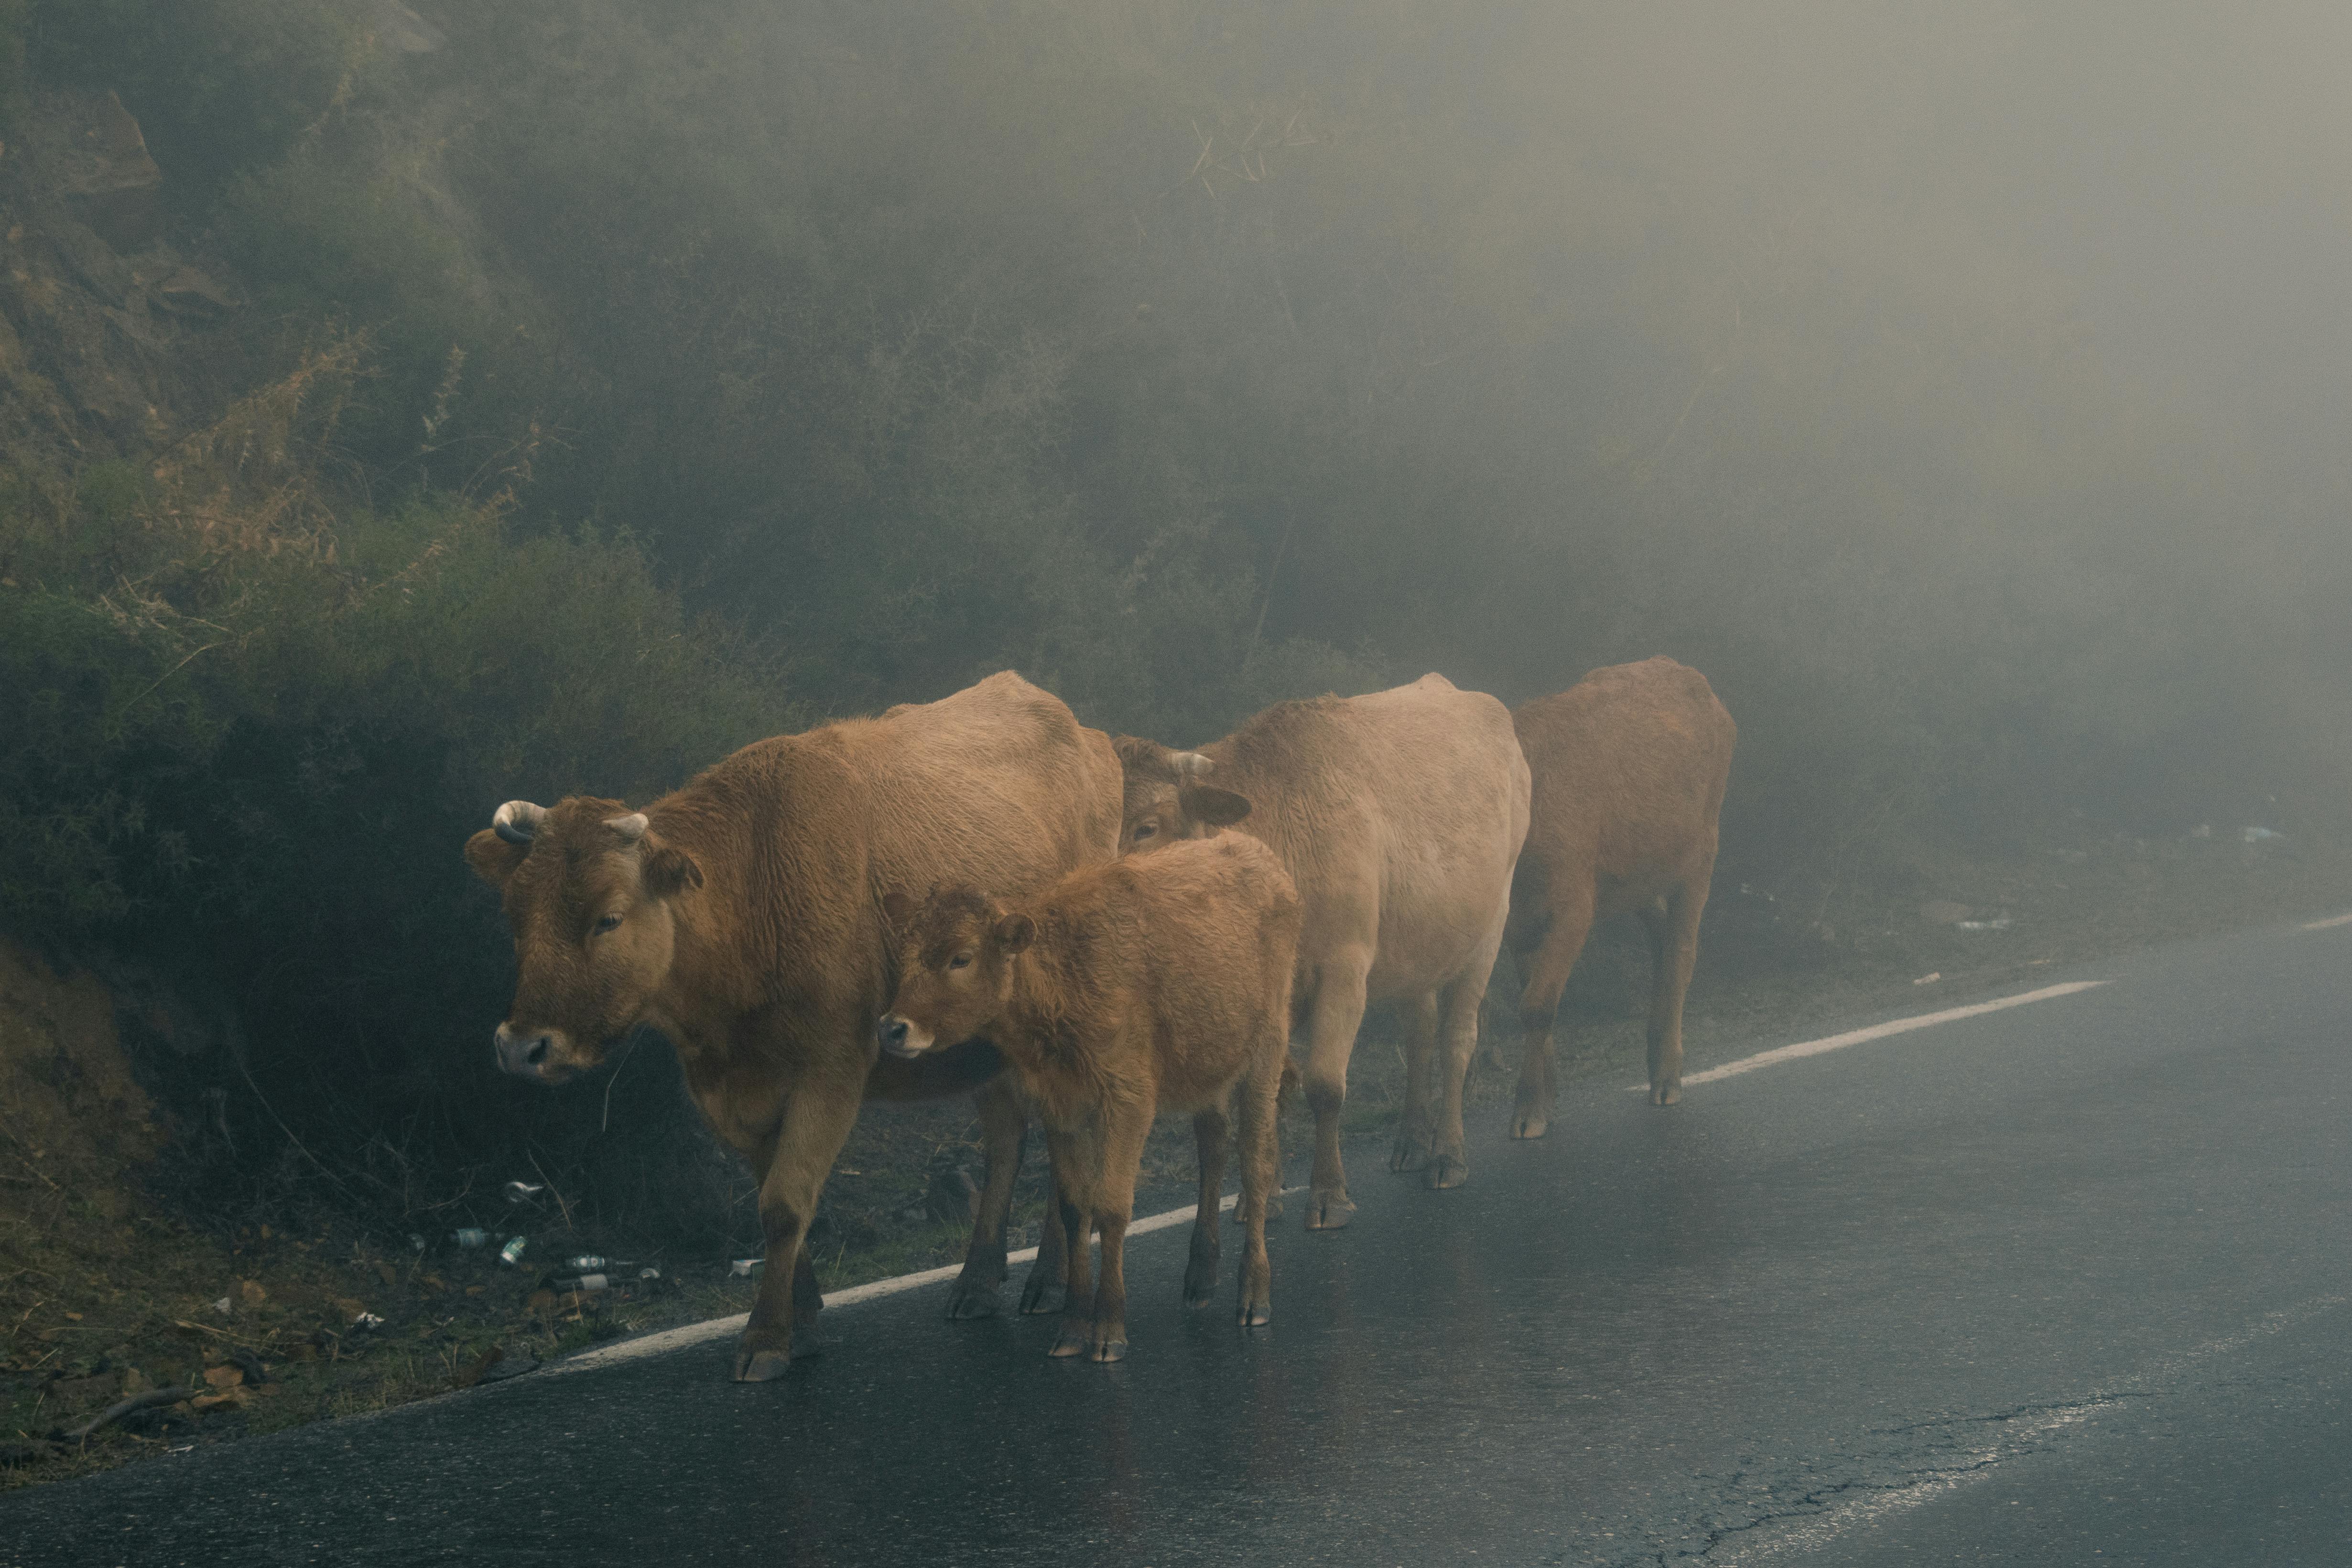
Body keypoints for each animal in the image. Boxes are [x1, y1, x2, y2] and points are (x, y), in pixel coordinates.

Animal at [462, 671, 1122, 1381]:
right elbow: (770, 1197)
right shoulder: (728, 1089)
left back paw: (1049, 1281)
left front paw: (766, 1336)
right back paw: (978, 1281)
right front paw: (801, 1317)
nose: (521, 1047)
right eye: (515, 915)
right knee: (1007, 1139)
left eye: (608, 918)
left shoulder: (831, 1067)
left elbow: (786, 1201)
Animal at [877, 832, 1299, 1361]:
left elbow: (1111, 1207)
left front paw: (1108, 1327)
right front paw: (1074, 1326)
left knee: (1255, 1166)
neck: (1064, 972)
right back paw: (1200, 1279)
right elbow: (1074, 1207)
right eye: (907, 952)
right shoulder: (1060, 1106)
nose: (893, 1027)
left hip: (1264, 1057)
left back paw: (1253, 1296)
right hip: (1209, 1071)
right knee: (1213, 1150)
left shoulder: (1128, 1102)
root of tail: (1255, 852)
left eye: (962, 957)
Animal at [1113, 674, 1530, 1227]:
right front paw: (1261, 1197)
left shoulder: (1345, 967)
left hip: (1488, 928)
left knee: (1456, 1038)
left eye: (1146, 827)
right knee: (1419, 1035)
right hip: (1417, 950)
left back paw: (1447, 1156)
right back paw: (1411, 1143)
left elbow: (1326, 1085)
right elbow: (1266, 1091)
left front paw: (1328, 1192)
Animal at [1504, 657, 1735, 1132]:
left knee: (1681, 954)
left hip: (1700, 854)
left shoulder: (1573, 905)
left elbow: (1538, 1003)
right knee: (1662, 937)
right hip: (1634, 879)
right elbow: (1531, 999)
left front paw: (1528, 1111)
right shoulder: (1516, 923)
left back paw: (1667, 1078)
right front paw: (1543, 1099)